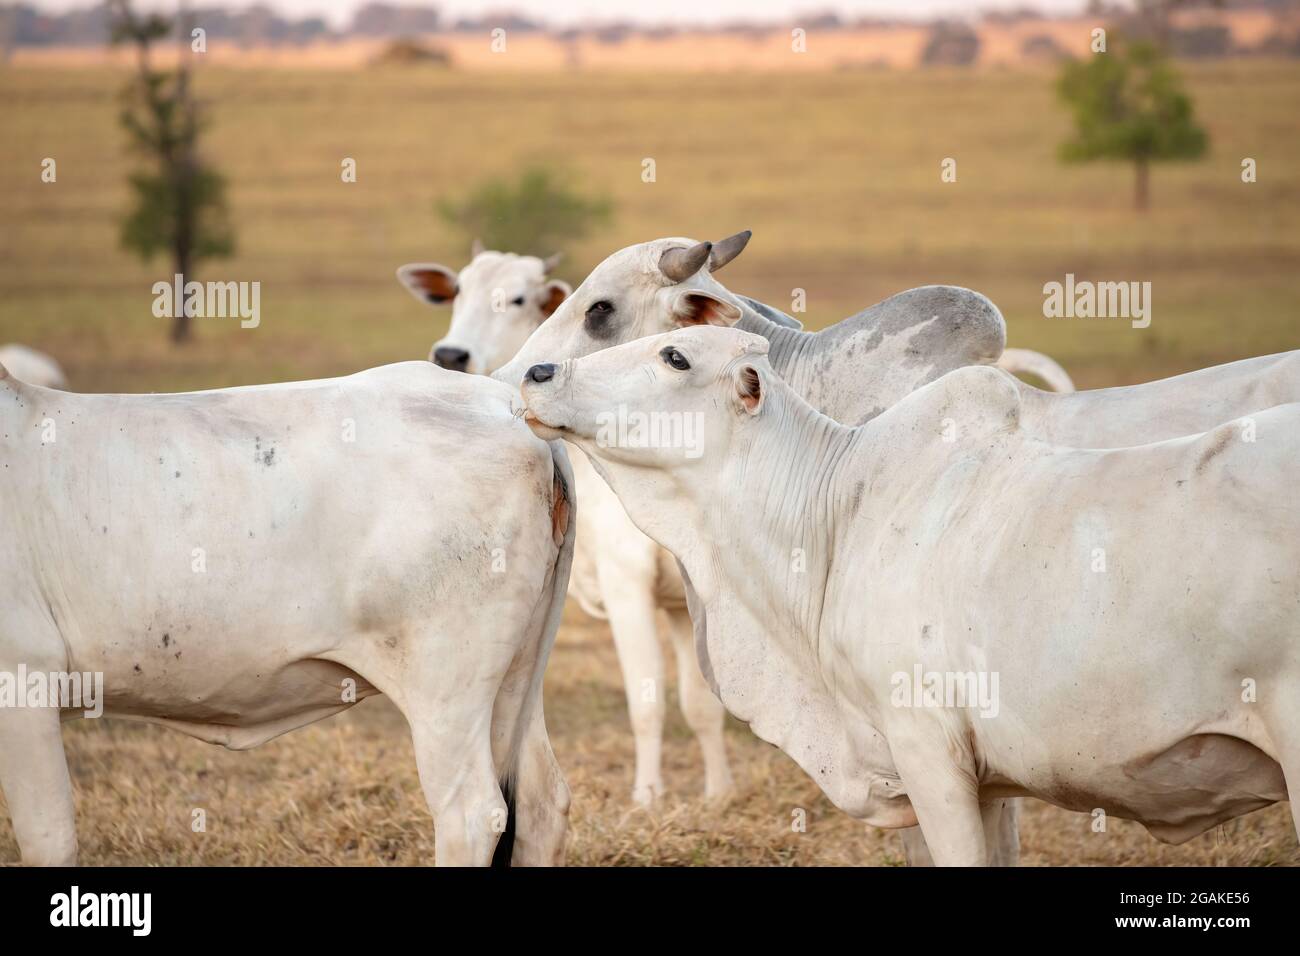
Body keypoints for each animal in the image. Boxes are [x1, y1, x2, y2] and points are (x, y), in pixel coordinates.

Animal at [0, 358, 575, 866]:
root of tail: (504, 405)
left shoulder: (25, 680)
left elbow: (49, 839)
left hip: (446, 687)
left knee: (471, 814)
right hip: (517, 678)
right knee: (542, 802)